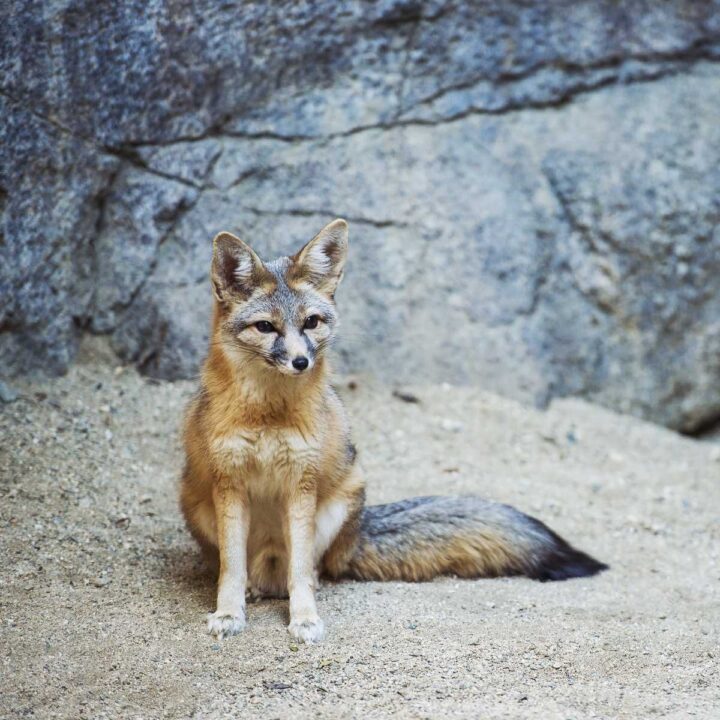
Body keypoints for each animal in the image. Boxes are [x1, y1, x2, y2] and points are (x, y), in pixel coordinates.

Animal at [180, 218, 607, 643]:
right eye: (266, 327)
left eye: (311, 323)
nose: (301, 362)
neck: (268, 415)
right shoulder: (229, 484)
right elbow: (232, 568)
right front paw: (228, 614)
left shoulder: (301, 484)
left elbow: (299, 571)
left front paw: (304, 619)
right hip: (198, 505)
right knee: (247, 570)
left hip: (338, 504)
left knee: (309, 571)